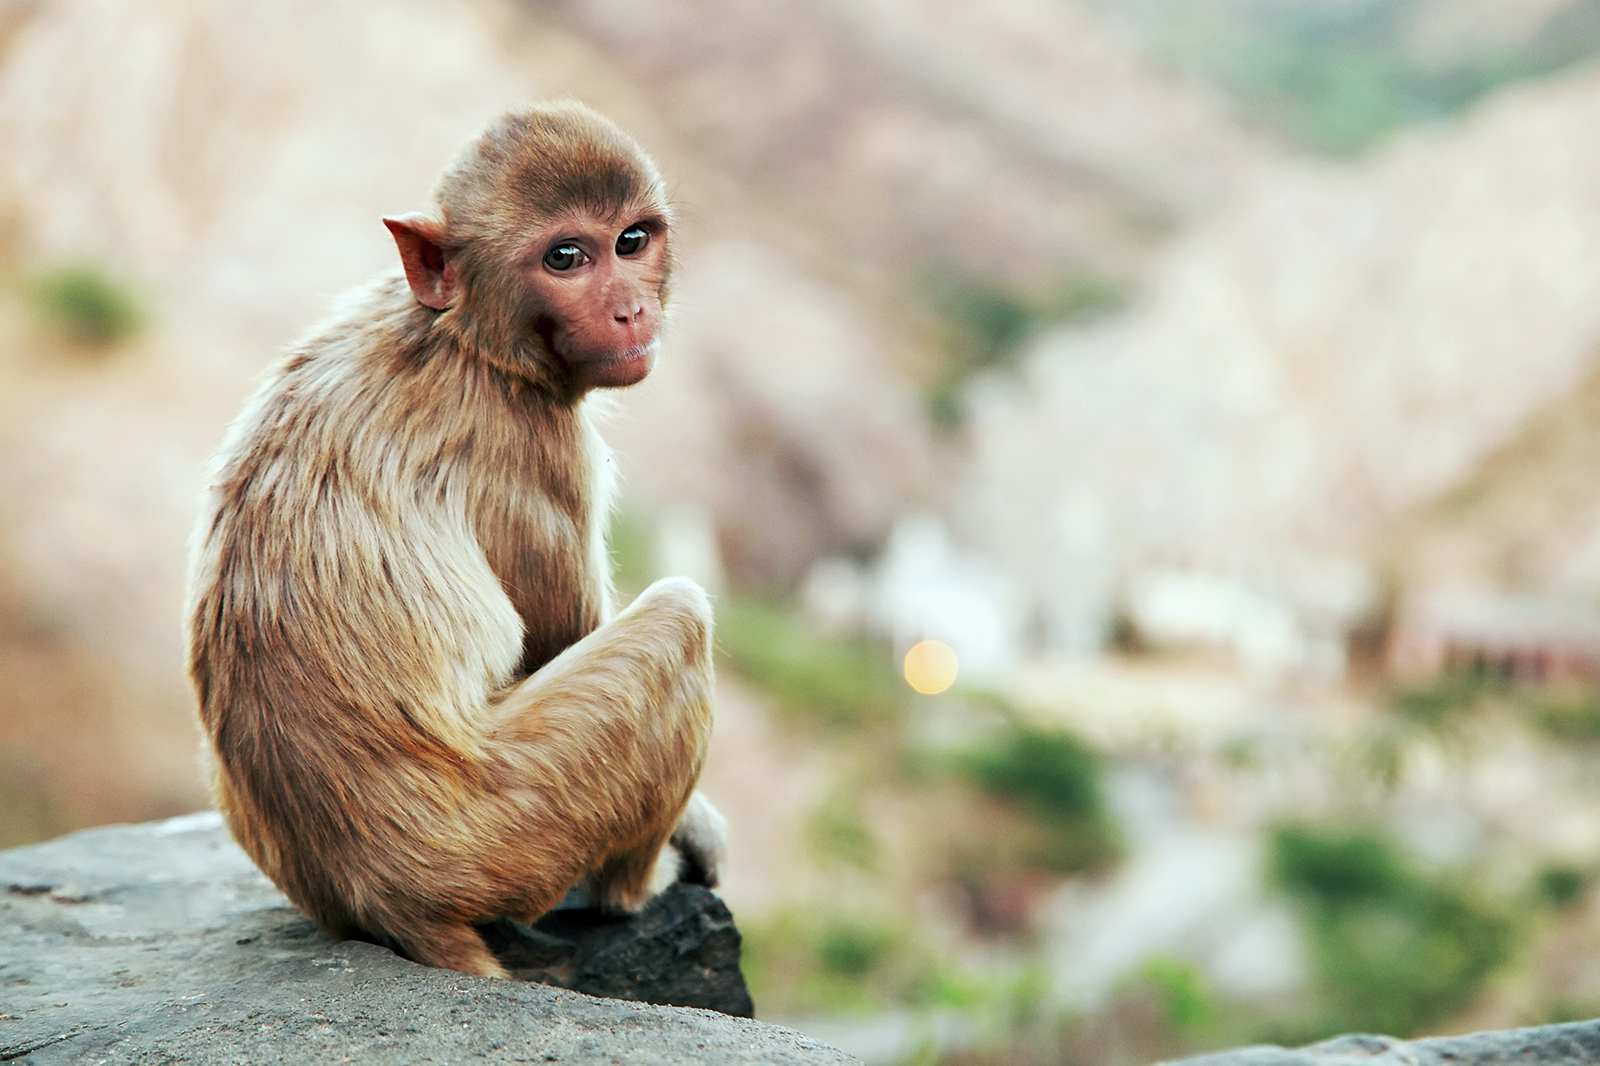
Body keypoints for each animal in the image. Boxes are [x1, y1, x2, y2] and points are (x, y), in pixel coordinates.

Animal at [184, 102, 727, 979]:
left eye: (632, 241)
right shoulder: (538, 446)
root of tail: (384, 899)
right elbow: (559, 639)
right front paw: (699, 825)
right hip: (512, 830)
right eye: (566, 257)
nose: (632, 311)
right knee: (678, 617)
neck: (465, 333)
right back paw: (629, 894)